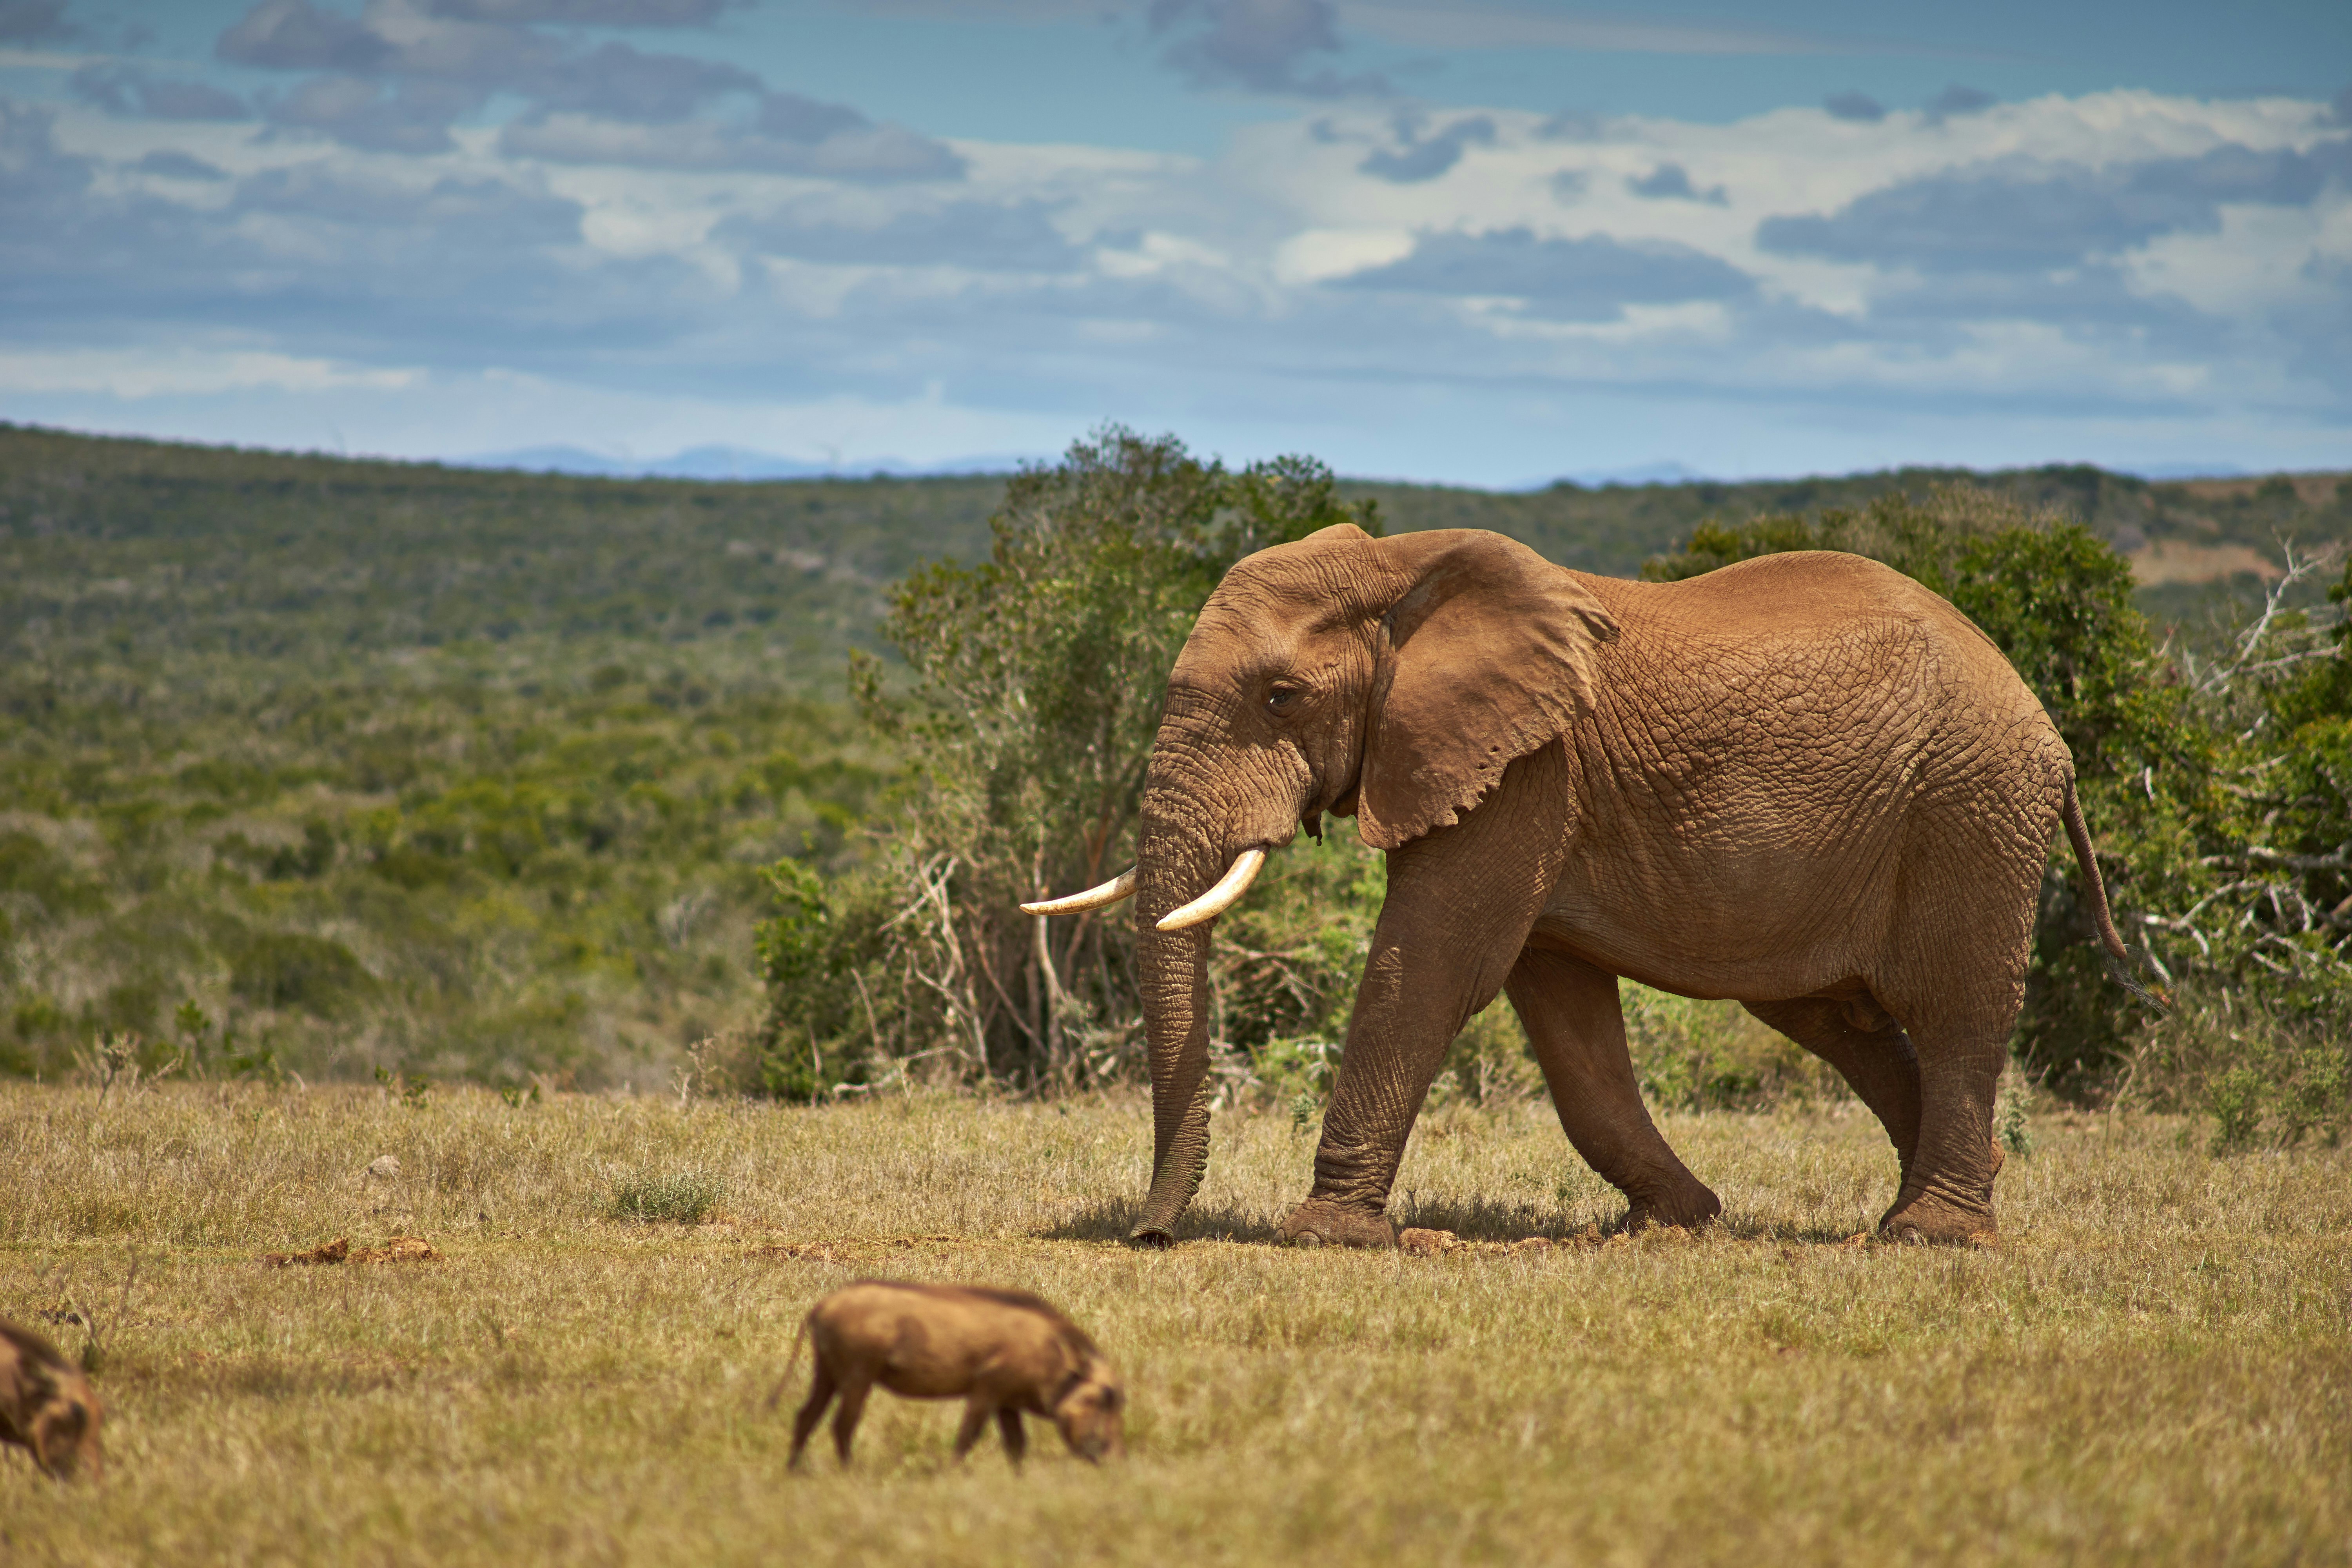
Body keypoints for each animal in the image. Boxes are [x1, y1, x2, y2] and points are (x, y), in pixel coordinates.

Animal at [1024, 524, 2135, 1250]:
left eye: (1281, 696)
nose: (1151, 1238)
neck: (1400, 563)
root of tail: (2042, 719)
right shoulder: (1532, 778)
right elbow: (1562, 1016)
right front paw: (1673, 1223)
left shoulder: (1530, 764)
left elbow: (1432, 965)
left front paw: (1327, 1234)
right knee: (1829, 1017)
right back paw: (1961, 1190)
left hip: (1970, 806)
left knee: (1953, 1009)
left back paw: (1930, 1234)